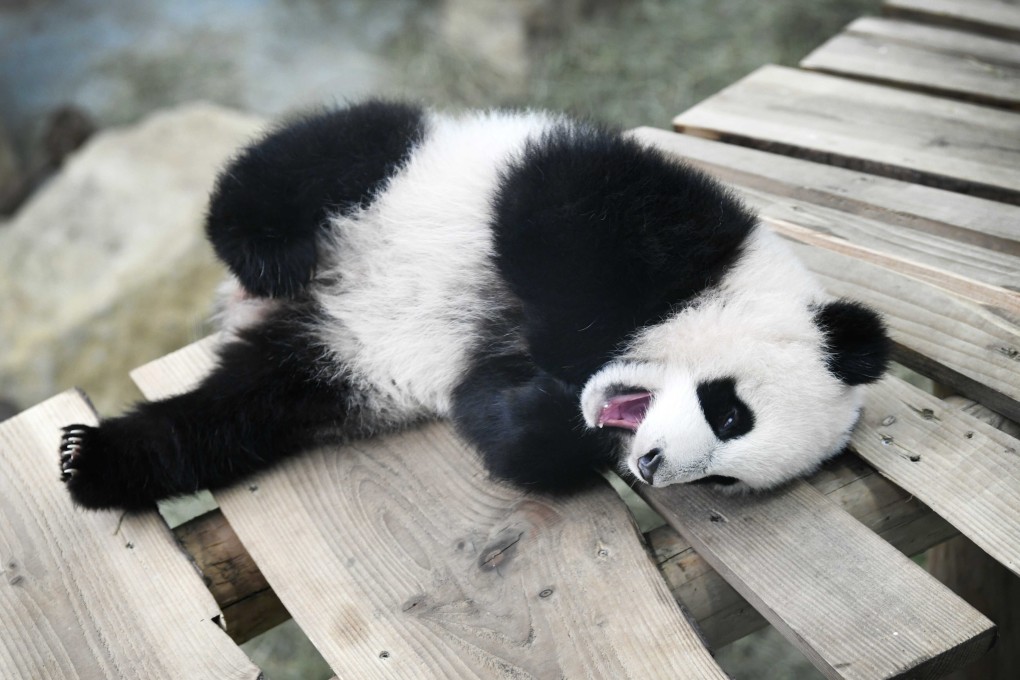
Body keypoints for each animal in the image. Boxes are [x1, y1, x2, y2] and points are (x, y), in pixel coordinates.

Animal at [58, 100, 890, 510]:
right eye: (730, 412)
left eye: (724, 480)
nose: (653, 467)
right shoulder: (671, 223)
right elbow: (559, 219)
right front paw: (569, 346)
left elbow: (510, 431)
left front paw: (536, 413)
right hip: (403, 168)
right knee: (319, 155)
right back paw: (265, 250)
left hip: (328, 367)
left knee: (235, 413)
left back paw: (95, 461)